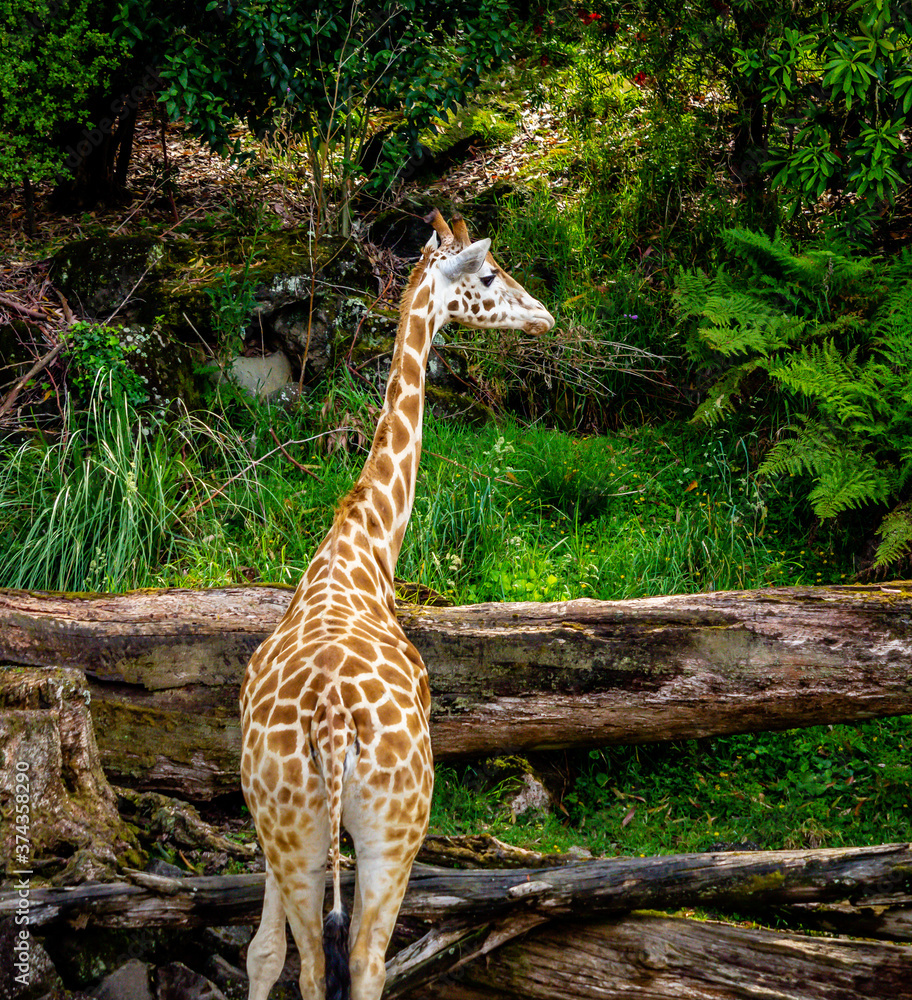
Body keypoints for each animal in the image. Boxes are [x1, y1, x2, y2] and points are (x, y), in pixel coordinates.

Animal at [240, 209, 555, 1000]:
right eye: (488, 276)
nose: (543, 315)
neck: (361, 548)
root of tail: (331, 728)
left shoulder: (260, 822)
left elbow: (261, 951)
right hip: (397, 830)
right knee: (361, 963)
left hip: (295, 825)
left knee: (310, 960)